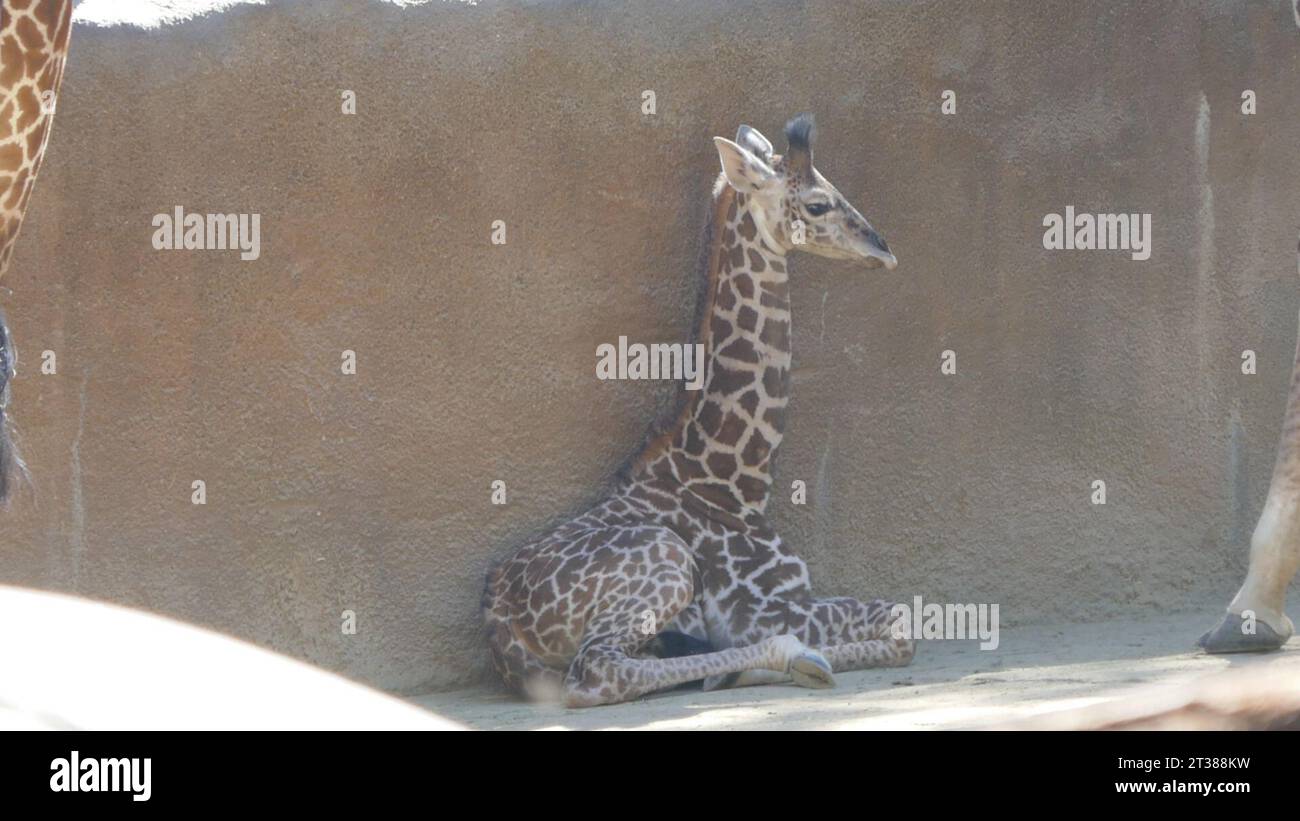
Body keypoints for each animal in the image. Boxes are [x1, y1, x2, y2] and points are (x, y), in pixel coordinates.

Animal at [482, 115, 914, 707]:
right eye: (818, 203)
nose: (884, 249)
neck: (734, 482)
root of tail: (499, 624)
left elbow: (900, 614)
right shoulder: (762, 608)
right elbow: (902, 624)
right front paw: (799, 656)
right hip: (665, 562)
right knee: (598, 673)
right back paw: (786, 660)